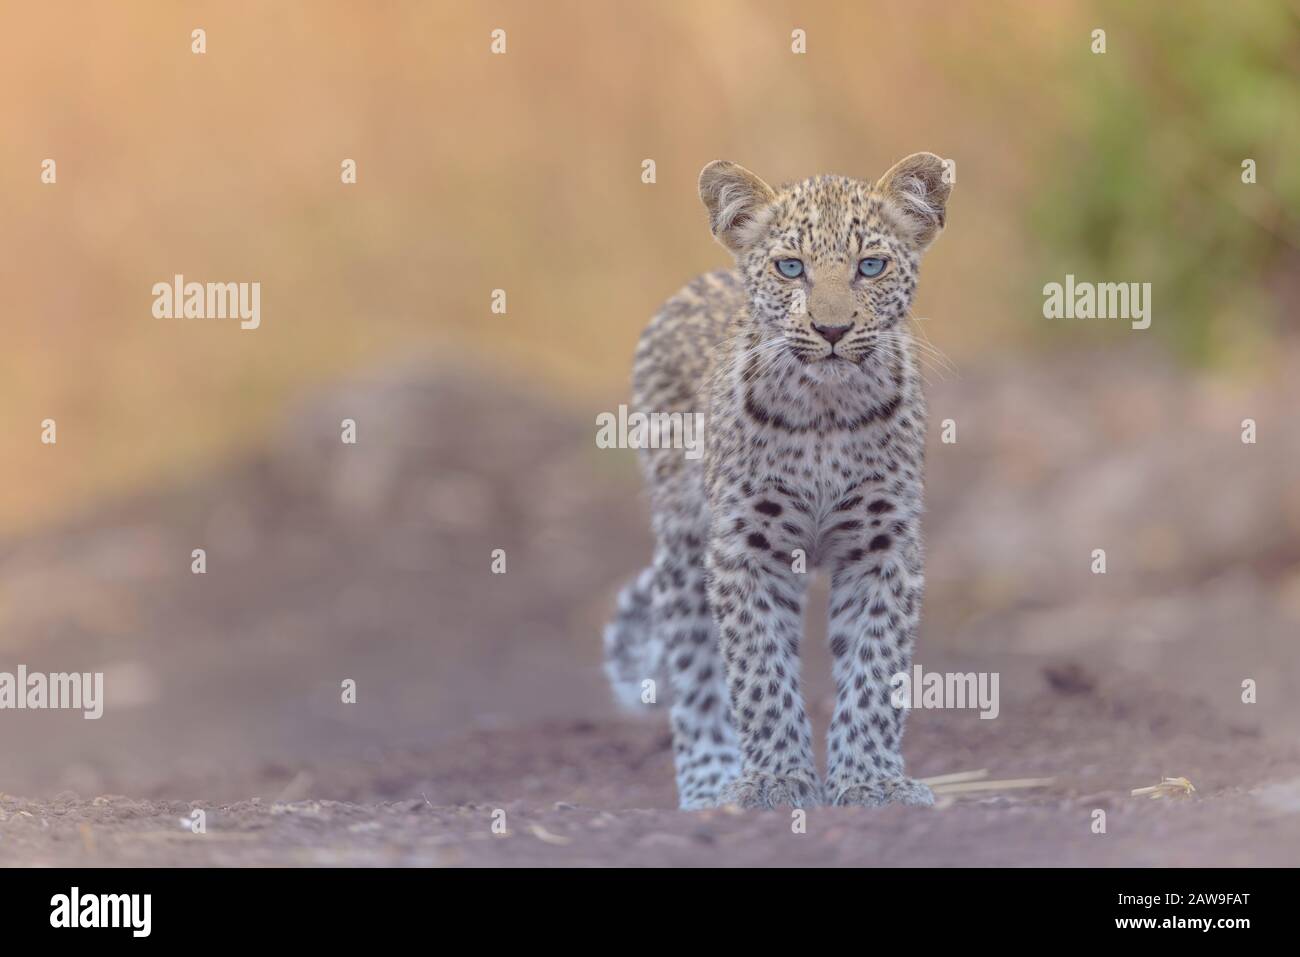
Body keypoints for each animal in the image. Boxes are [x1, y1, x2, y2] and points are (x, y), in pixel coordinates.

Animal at [603, 153, 952, 810]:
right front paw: (777, 782)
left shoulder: (884, 545)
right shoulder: (745, 546)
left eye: (871, 266)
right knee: (694, 665)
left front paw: (871, 781)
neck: (825, 409)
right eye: (791, 267)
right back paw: (711, 783)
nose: (832, 330)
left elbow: (875, 669)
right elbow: (759, 672)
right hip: (685, 541)